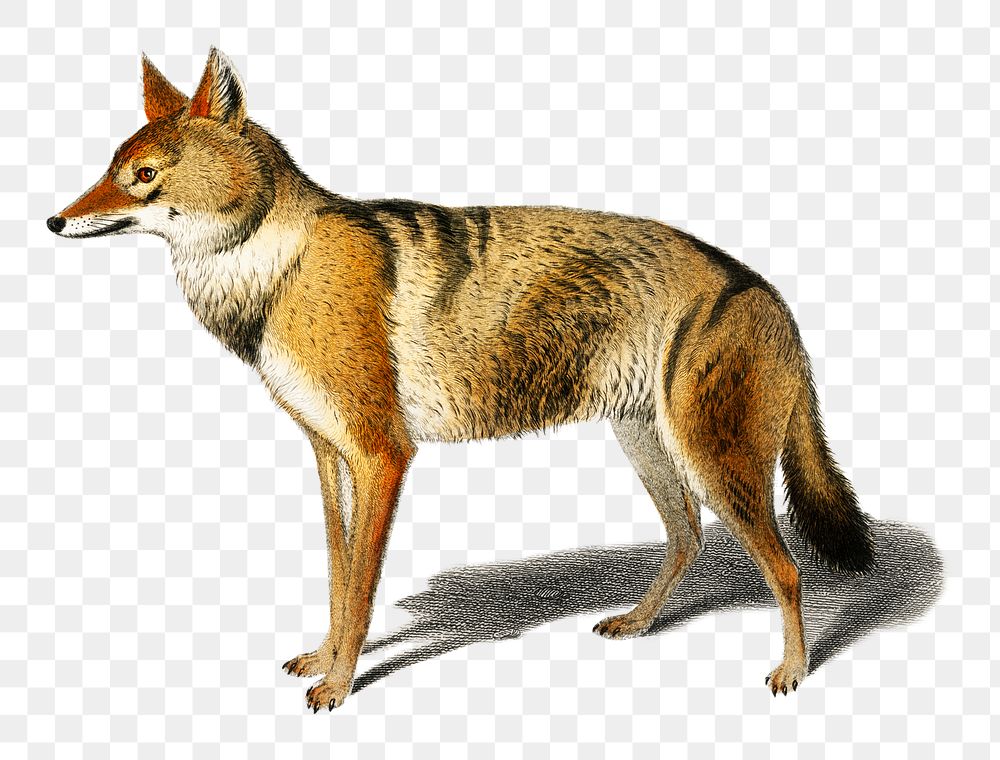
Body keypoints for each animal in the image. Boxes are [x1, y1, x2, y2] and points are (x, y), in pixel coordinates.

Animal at [47, 49, 874, 710]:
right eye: (109, 171)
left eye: (143, 177)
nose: (53, 222)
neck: (278, 271)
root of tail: (765, 291)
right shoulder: (329, 456)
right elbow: (337, 579)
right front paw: (323, 660)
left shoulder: (383, 457)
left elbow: (361, 591)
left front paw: (340, 686)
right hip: (650, 449)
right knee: (689, 540)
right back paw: (639, 623)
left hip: (715, 465)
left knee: (786, 569)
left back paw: (793, 671)